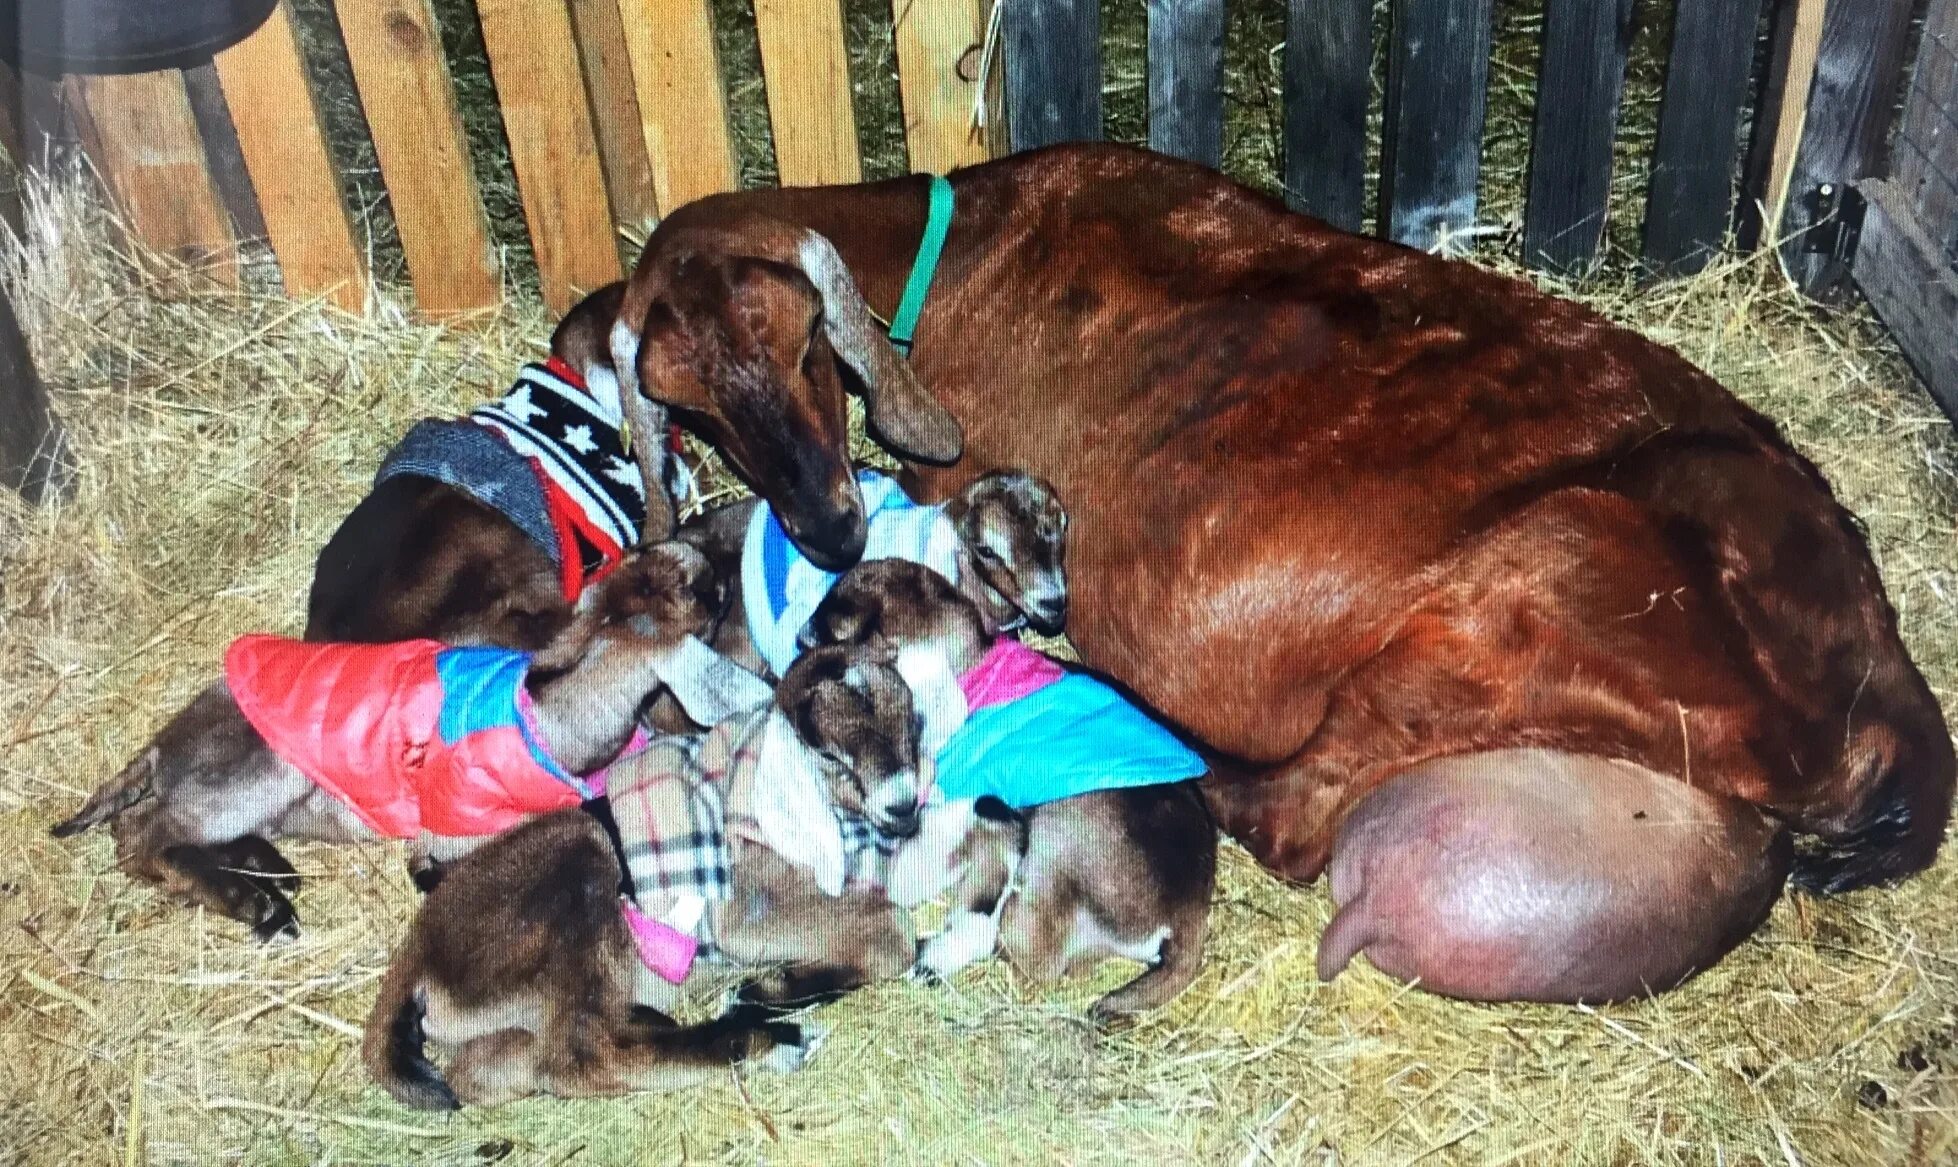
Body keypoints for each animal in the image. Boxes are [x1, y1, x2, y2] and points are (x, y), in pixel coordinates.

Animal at [603, 143, 1950, 1002]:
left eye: (804, 349)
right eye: (689, 403)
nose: (827, 529)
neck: (968, 243)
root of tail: (1889, 704)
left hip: (1527, 587)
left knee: (1290, 809)